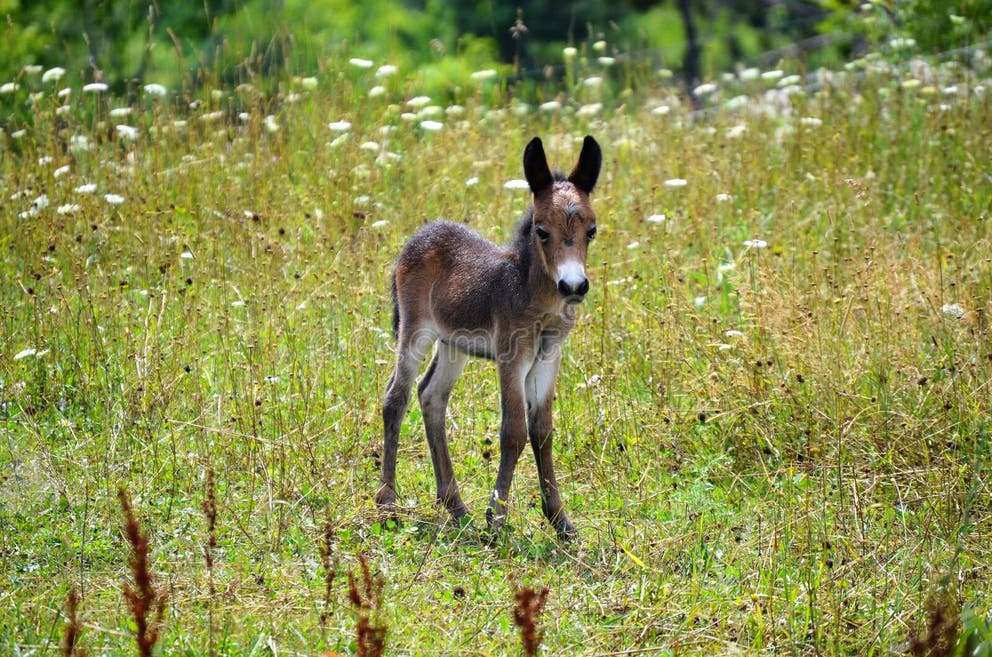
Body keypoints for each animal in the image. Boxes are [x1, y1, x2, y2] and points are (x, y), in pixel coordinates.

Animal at [377, 135, 602, 540]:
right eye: (542, 230)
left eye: (591, 230)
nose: (574, 286)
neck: (535, 297)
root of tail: (418, 238)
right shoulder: (512, 357)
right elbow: (514, 431)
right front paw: (496, 520)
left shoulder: (548, 359)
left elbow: (542, 431)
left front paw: (560, 521)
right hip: (416, 330)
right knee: (395, 397)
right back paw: (388, 506)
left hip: (453, 344)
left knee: (431, 396)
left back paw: (454, 505)